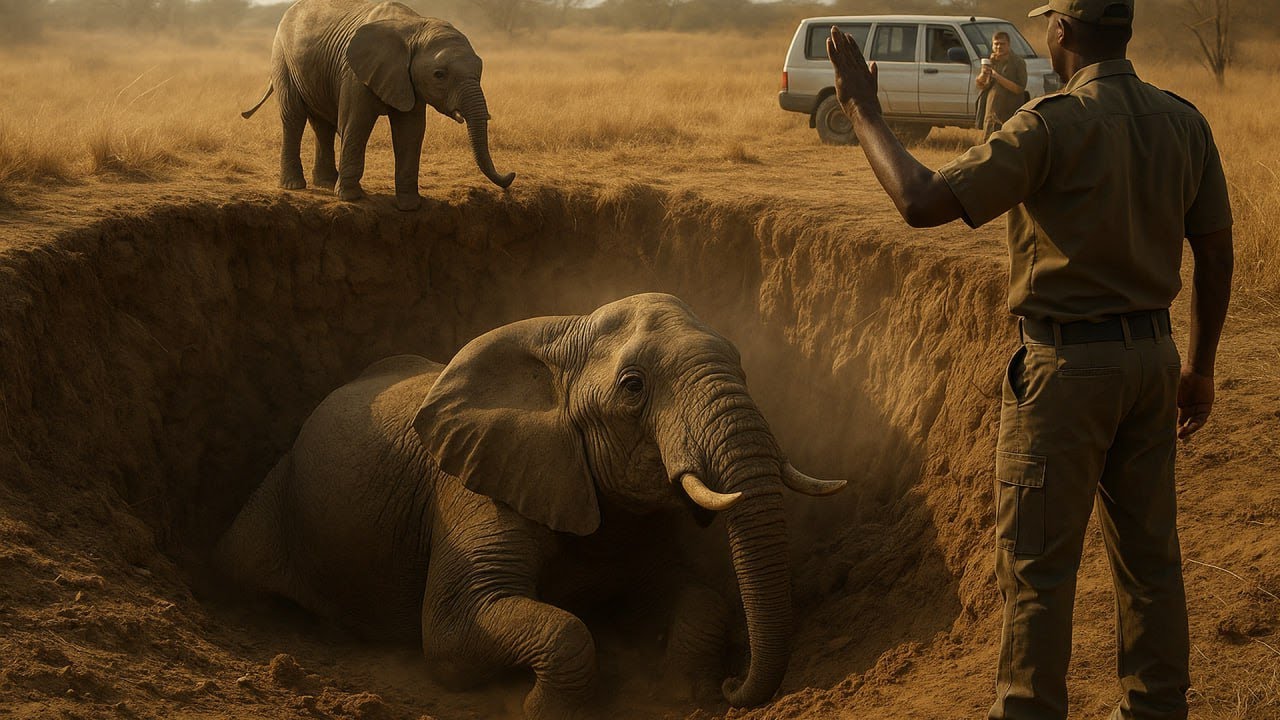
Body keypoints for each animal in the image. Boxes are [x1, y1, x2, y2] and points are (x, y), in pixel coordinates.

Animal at [216, 293, 844, 718]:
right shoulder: (476, 490)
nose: (736, 689)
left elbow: (695, 596)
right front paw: (546, 711)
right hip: (273, 499)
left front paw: (686, 694)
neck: (556, 349)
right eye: (633, 386)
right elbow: (454, 632)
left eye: (742, 366)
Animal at [240, 0, 515, 211]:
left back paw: (326, 184)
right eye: (439, 75)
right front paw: (351, 198)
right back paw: (295, 185)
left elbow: (410, 133)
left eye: (481, 69)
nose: (510, 176)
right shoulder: (355, 73)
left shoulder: (408, 79)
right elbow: (356, 124)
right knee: (294, 117)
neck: (415, 28)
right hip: (282, 59)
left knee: (322, 125)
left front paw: (410, 206)